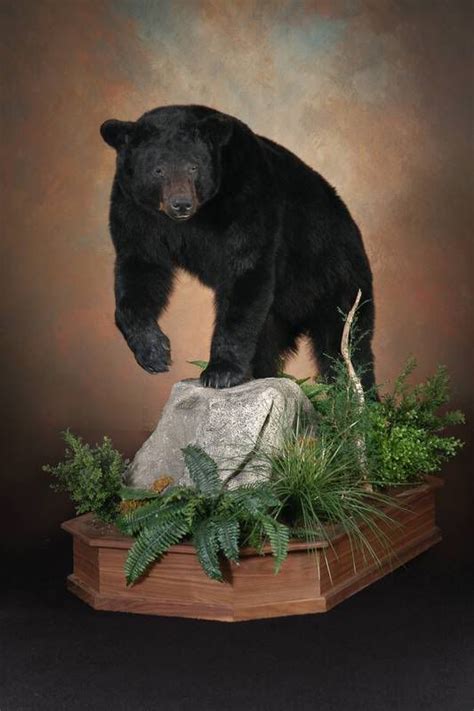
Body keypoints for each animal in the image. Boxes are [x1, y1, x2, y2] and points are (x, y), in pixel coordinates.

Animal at [100, 104, 376, 392]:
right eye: (158, 170)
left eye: (193, 167)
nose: (181, 204)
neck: (198, 215)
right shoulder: (135, 211)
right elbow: (141, 267)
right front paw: (154, 352)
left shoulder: (247, 194)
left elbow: (246, 270)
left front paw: (220, 371)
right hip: (278, 310)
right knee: (269, 342)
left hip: (336, 277)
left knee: (345, 341)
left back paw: (358, 393)